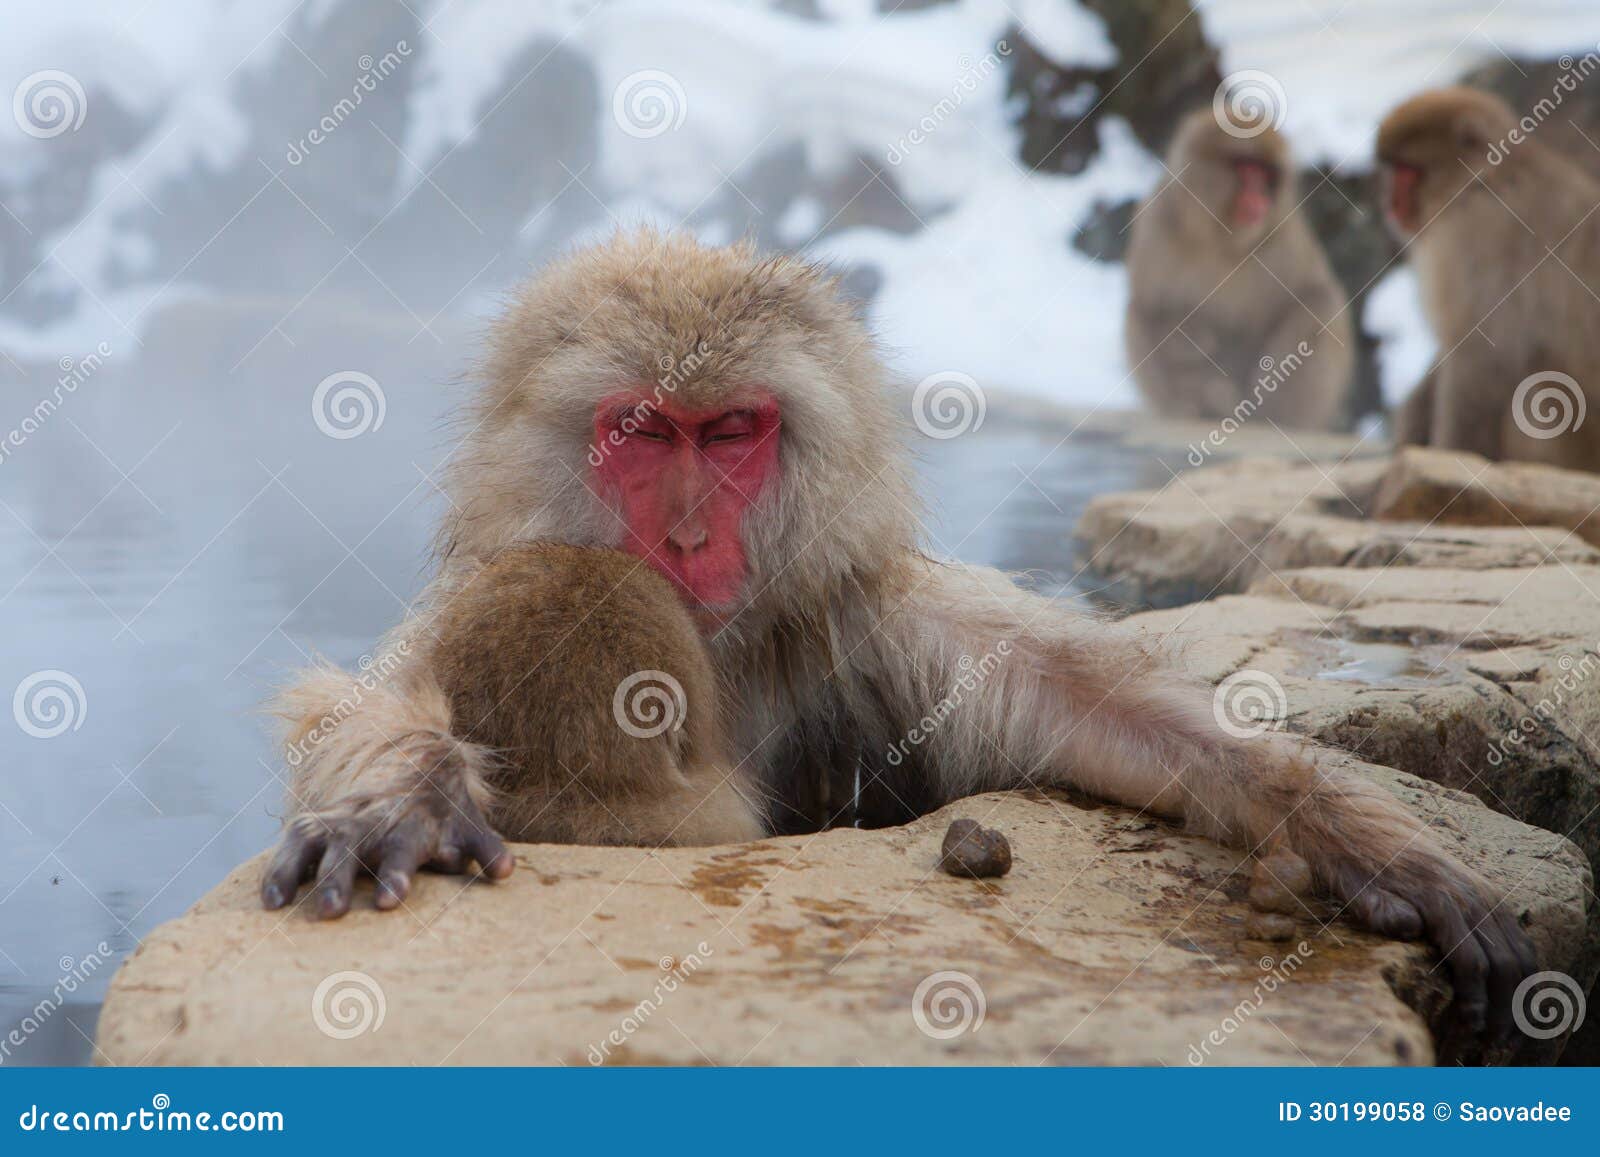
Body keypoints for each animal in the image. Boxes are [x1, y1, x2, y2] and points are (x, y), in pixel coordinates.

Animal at [262, 229, 1533, 1043]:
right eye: (642, 430)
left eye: (729, 431)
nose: (684, 534)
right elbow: (369, 708)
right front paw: (400, 793)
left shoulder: (868, 614)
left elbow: (1086, 705)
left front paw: (1363, 839)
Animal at [1125, 108, 1354, 431]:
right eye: (1248, 169)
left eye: (1267, 175)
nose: (1261, 198)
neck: (1221, 238)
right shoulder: (1155, 223)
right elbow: (1152, 308)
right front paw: (1196, 344)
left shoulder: (1284, 237)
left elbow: (1311, 292)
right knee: (1136, 315)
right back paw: (1202, 401)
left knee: (1322, 303)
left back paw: (1264, 412)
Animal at [1379, 86, 1600, 469]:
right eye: (1392, 172)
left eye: (1407, 172)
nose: (1391, 204)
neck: (1480, 183)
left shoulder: (1472, 237)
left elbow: (1481, 351)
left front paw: (1451, 455)